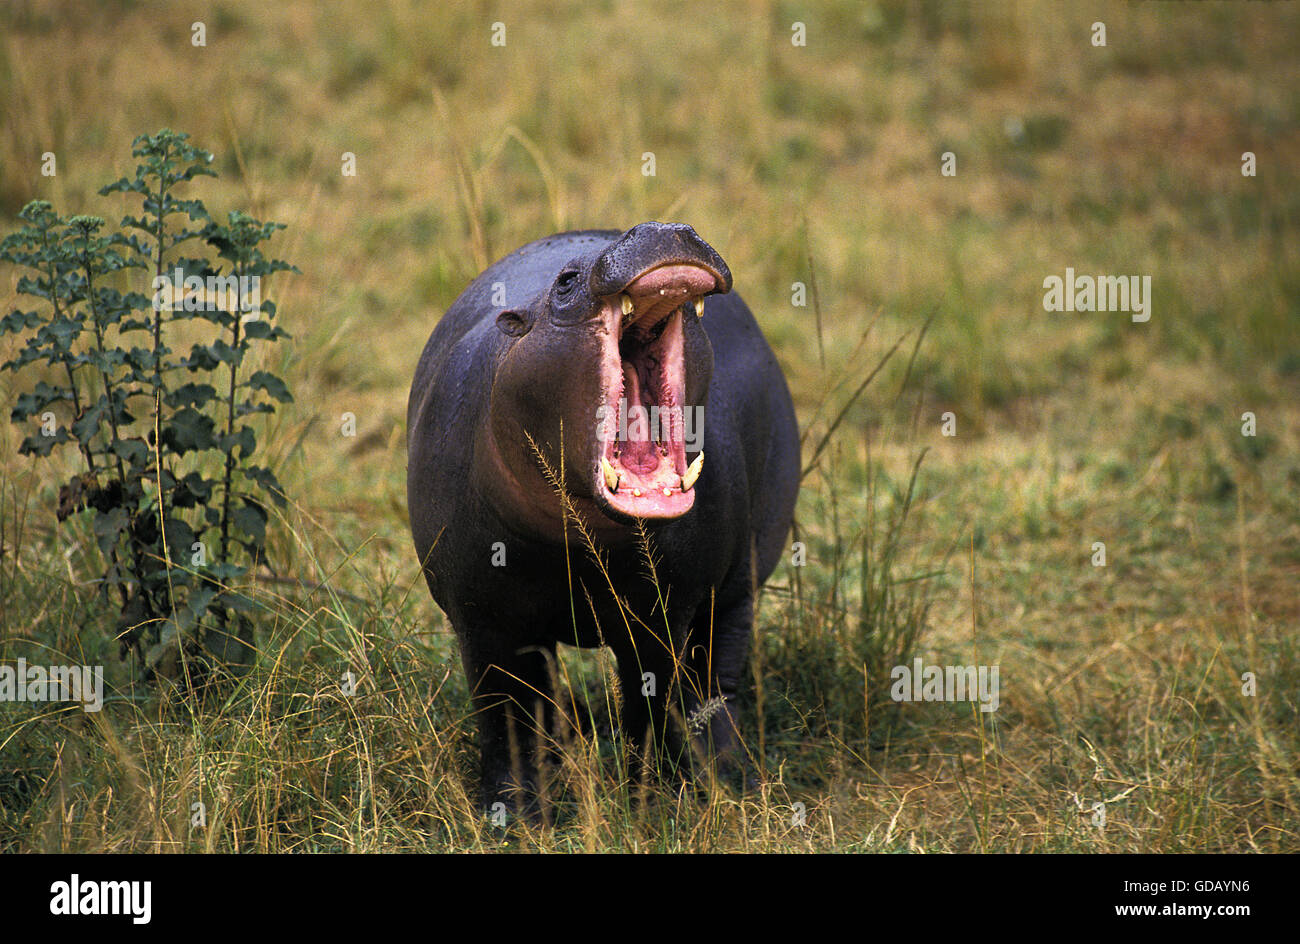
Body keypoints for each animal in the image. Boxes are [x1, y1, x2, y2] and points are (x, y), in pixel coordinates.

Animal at [407, 222, 799, 814]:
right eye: (565, 281)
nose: (663, 227)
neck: (576, 537)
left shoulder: (662, 614)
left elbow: (649, 706)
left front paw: (649, 805)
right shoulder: (481, 615)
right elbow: (504, 715)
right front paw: (514, 817)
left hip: (737, 584)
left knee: (715, 679)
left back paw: (732, 782)